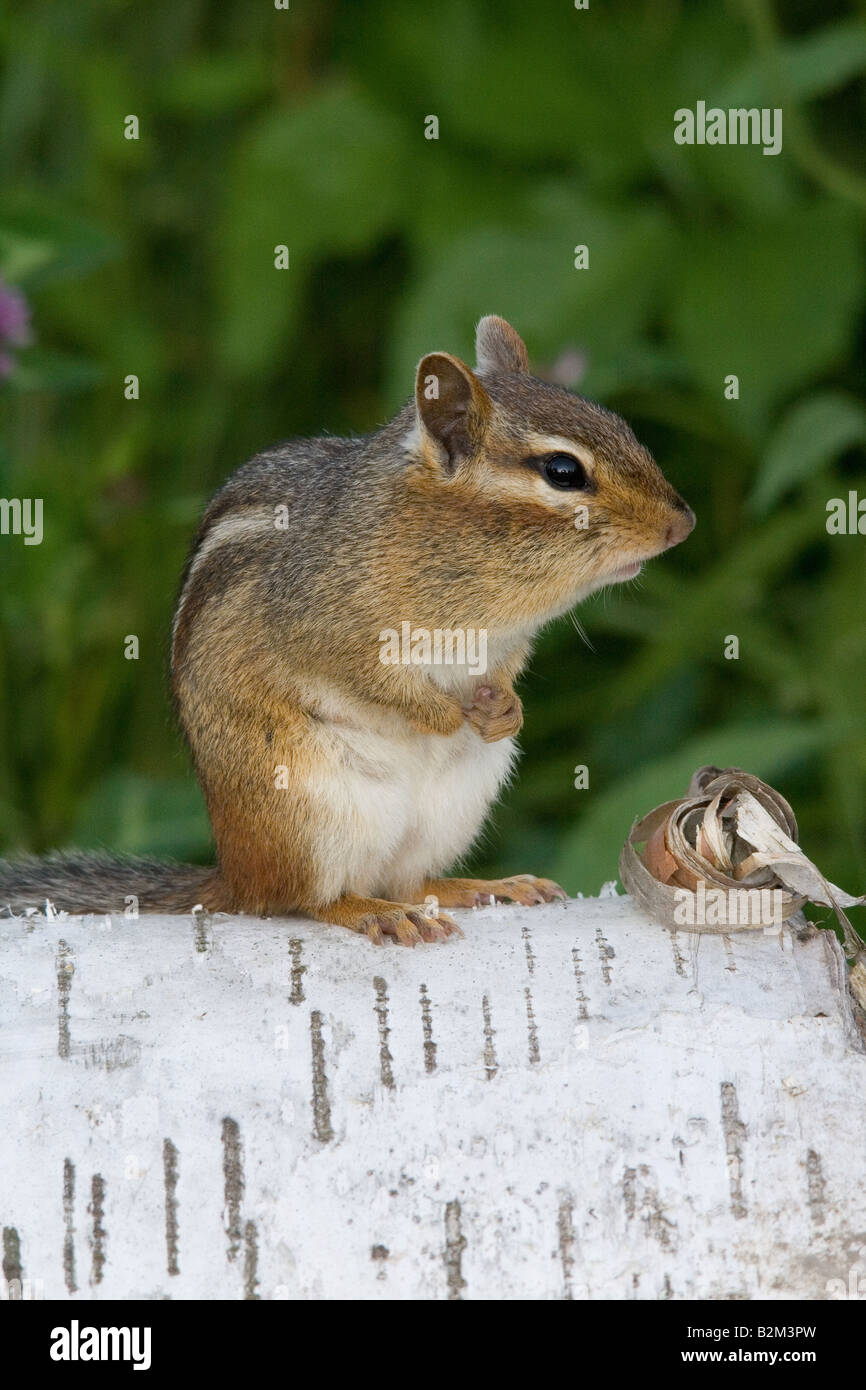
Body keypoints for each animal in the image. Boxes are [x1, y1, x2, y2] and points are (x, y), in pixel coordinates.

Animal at [0, 316, 693, 944]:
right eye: (562, 472)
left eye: (624, 428)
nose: (682, 523)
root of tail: (235, 872)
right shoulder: (328, 630)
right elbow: (372, 682)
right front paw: (444, 716)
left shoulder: (508, 642)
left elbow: (504, 673)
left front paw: (503, 710)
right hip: (307, 809)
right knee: (307, 899)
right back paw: (373, 912)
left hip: (455, 804)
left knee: (411, 879)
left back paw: (489, 886)